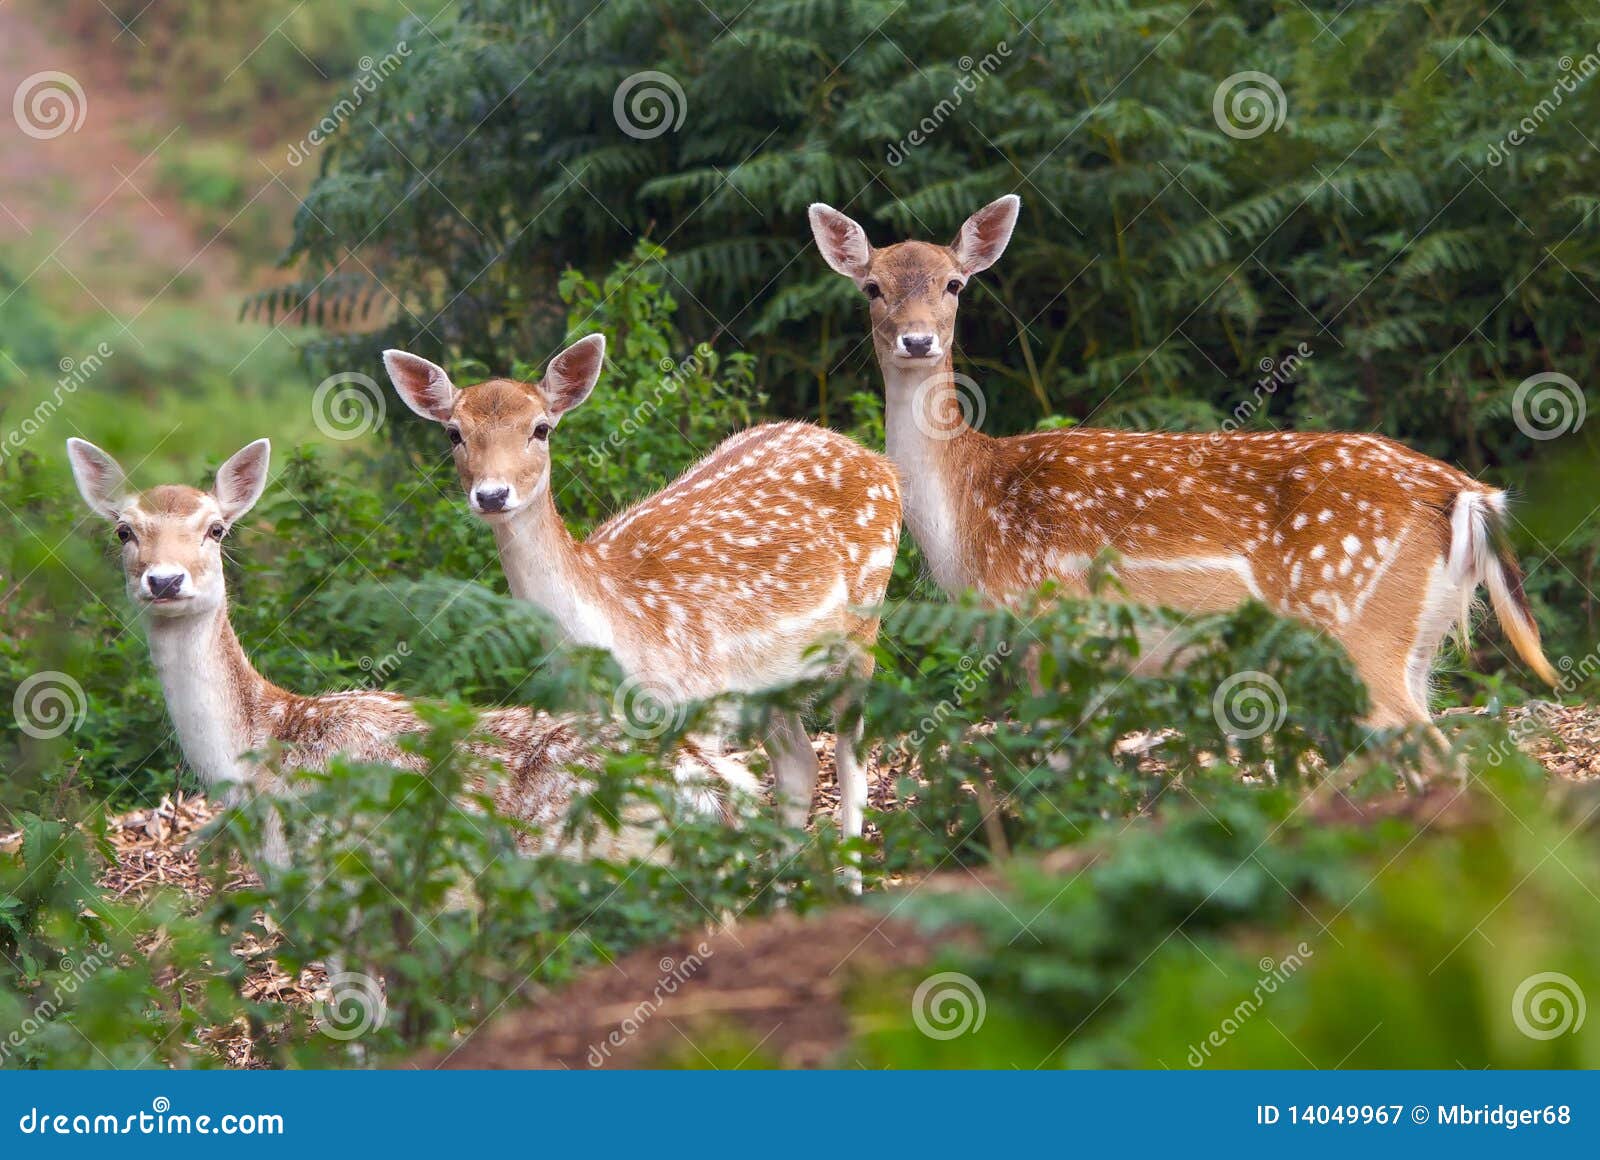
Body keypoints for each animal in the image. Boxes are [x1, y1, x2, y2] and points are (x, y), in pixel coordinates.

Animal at [381, 335, 903, 886]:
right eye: (454, 433)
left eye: (540, 428)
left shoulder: (700, 705)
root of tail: (879, 463)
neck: (618, 629)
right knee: (799, 765)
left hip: (867, 616)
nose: (492, 494)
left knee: (850, 758)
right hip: (770, 681)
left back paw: (850, 881)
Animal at [808, 194, 1557, 751]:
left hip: (1357, 618)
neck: (968, 512)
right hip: (1421, 637)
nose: (917, 340)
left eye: (954, 283)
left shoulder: (1052, 619)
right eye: (872, 287)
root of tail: (1466, 495)